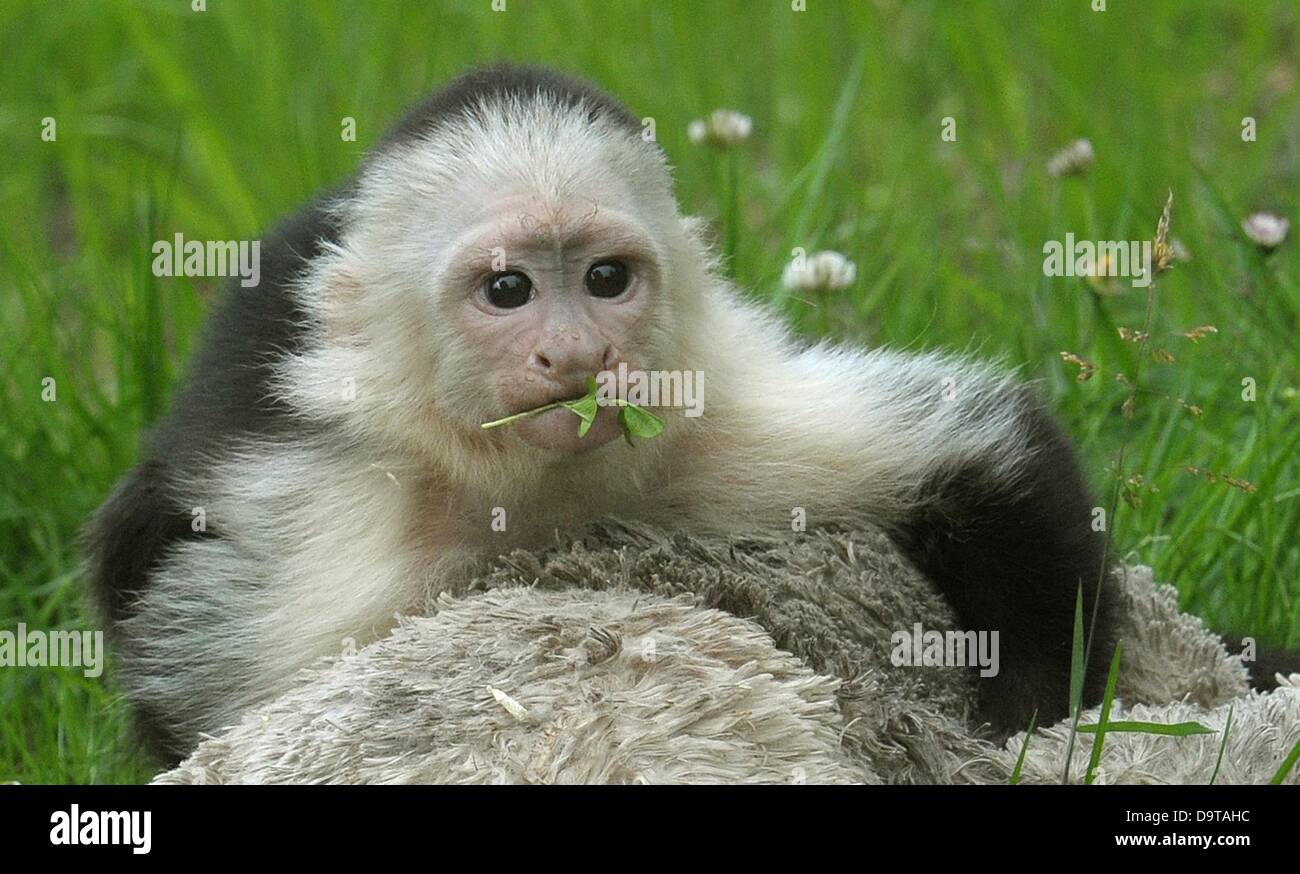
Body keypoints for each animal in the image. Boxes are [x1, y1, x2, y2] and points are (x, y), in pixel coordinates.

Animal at [84, 64, 1252, 765]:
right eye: (507, 290)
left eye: (607, 279)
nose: (577, 354)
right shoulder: (335, 541)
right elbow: (214, 698)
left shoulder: (718, 414)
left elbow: (985, 446)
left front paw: (1035, 713)